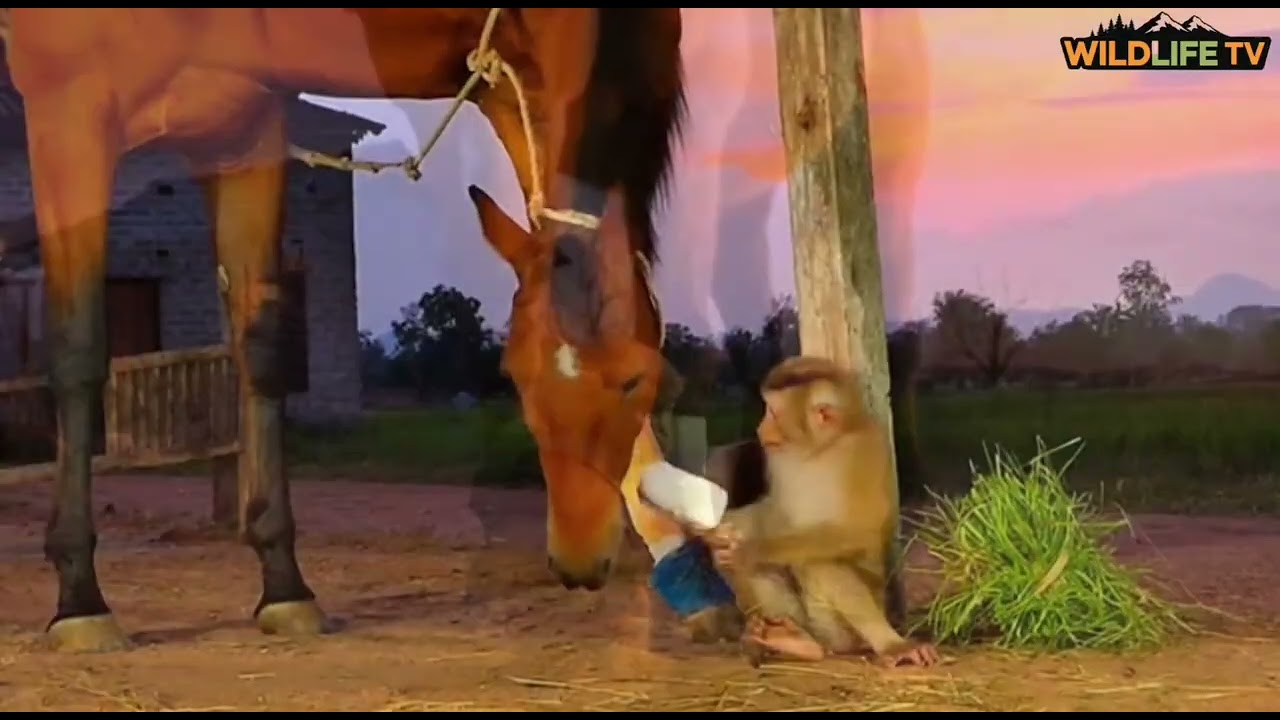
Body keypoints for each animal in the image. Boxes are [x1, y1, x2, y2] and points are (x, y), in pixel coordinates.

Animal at [702, 355, 938, 668]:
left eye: (772, 412)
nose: (760, 429)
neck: (821, 447)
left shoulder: (861, 450)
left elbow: (856, 530)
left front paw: (752, 549)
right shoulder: (778, 459)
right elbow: (772, 514)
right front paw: (723, 535)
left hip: (845, 630)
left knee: (821, 563)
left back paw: (889, 644)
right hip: (807, 622)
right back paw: (796, 642)